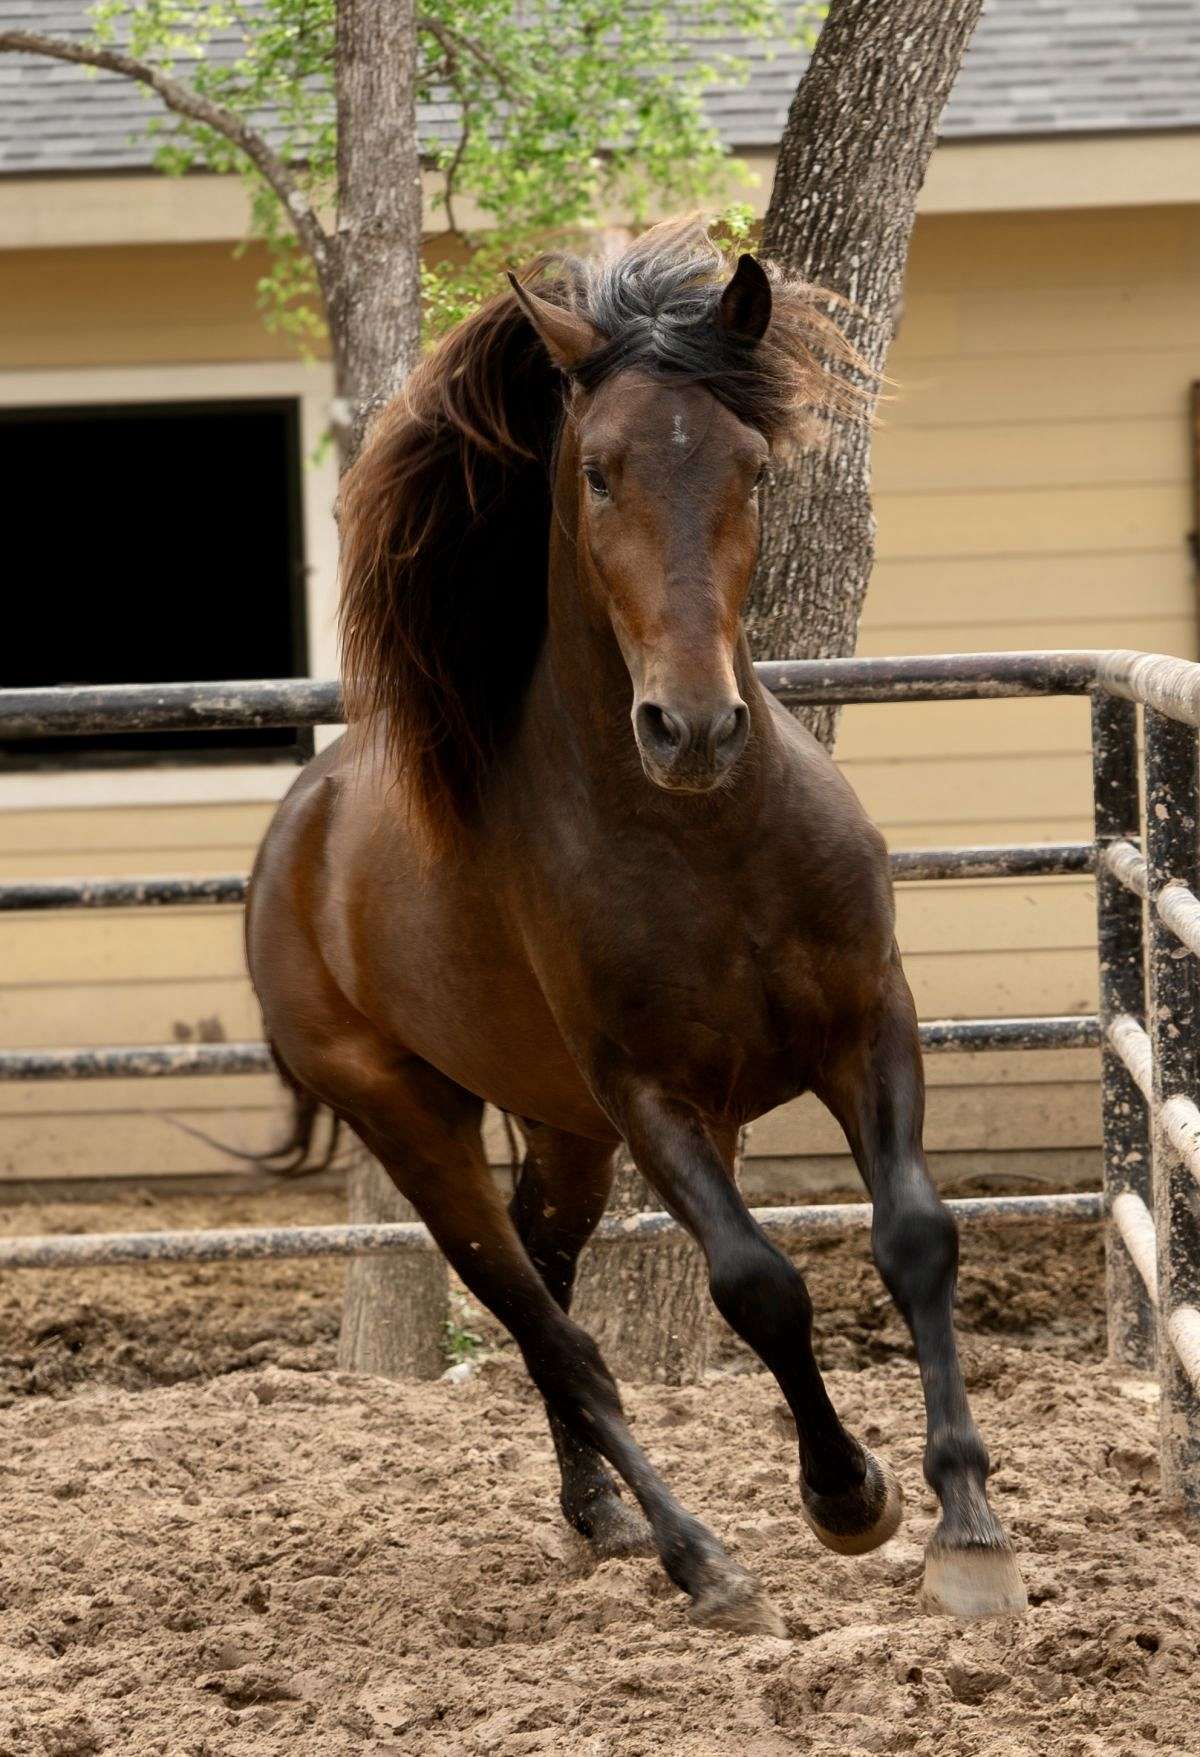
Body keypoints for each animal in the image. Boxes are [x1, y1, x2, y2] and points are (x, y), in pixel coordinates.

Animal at [246, 220, 1026, 1634]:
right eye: (599, 472)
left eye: (752, 464)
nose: (693, 726)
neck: (707, 843)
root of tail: (296, 838)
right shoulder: (654, 1093)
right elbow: (757, 1283)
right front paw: (847, 1496)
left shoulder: (869, 1024)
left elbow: (916, 1236)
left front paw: (970, 1529)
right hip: (414, 1118)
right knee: (545, 1324)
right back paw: (696, 1554)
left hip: (560, 1128)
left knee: (550, 1286)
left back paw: (599, 1514)